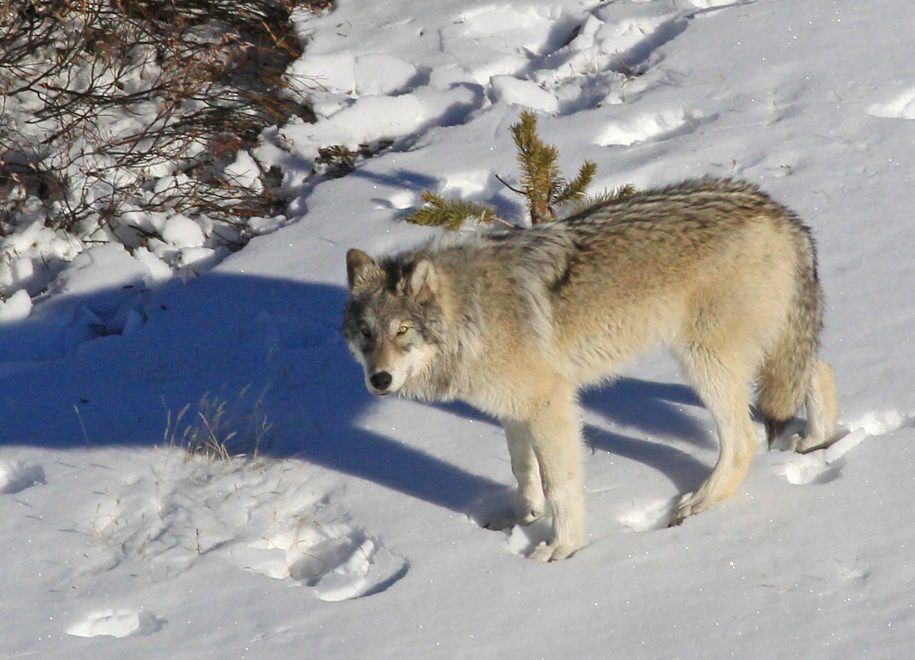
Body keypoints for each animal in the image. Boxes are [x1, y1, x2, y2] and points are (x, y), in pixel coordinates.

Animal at [342, 177, 838, 562]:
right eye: (366, 333)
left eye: (403, 330)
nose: (379, 379)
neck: (473, 312)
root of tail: (779, 211)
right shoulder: (513, 409)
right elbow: (522, 469)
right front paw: (522, 517)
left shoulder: (550, 404)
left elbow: (560, 484)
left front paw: (562, 548)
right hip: (763, 350)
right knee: (819, 369)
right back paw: (818, 440)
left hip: (704, 362)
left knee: (743, 440)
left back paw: (699, 503)